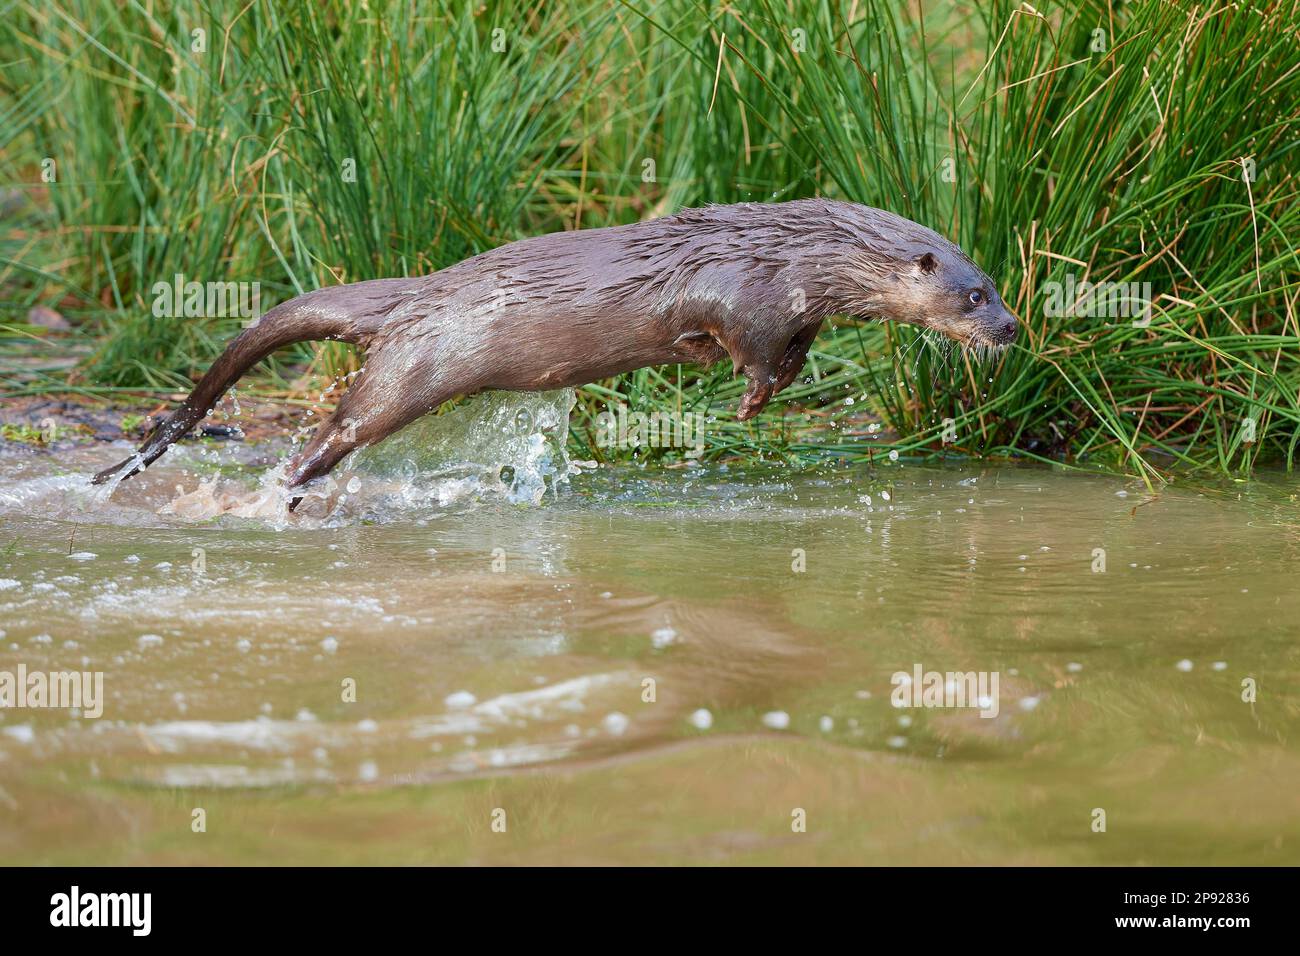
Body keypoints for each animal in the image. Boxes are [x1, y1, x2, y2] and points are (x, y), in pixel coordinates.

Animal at [92, 198, 1016, 497]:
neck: (799, 256)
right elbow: (745, 346)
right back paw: (290, 488)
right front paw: (751, 396)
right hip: (413, 363)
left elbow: (794, 351)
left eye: (1001, 284)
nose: (1010, 327)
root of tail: (412, 293)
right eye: (972, 293)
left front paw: (771, 386)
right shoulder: (740, 289)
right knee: (343, 424)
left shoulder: (800, 313)